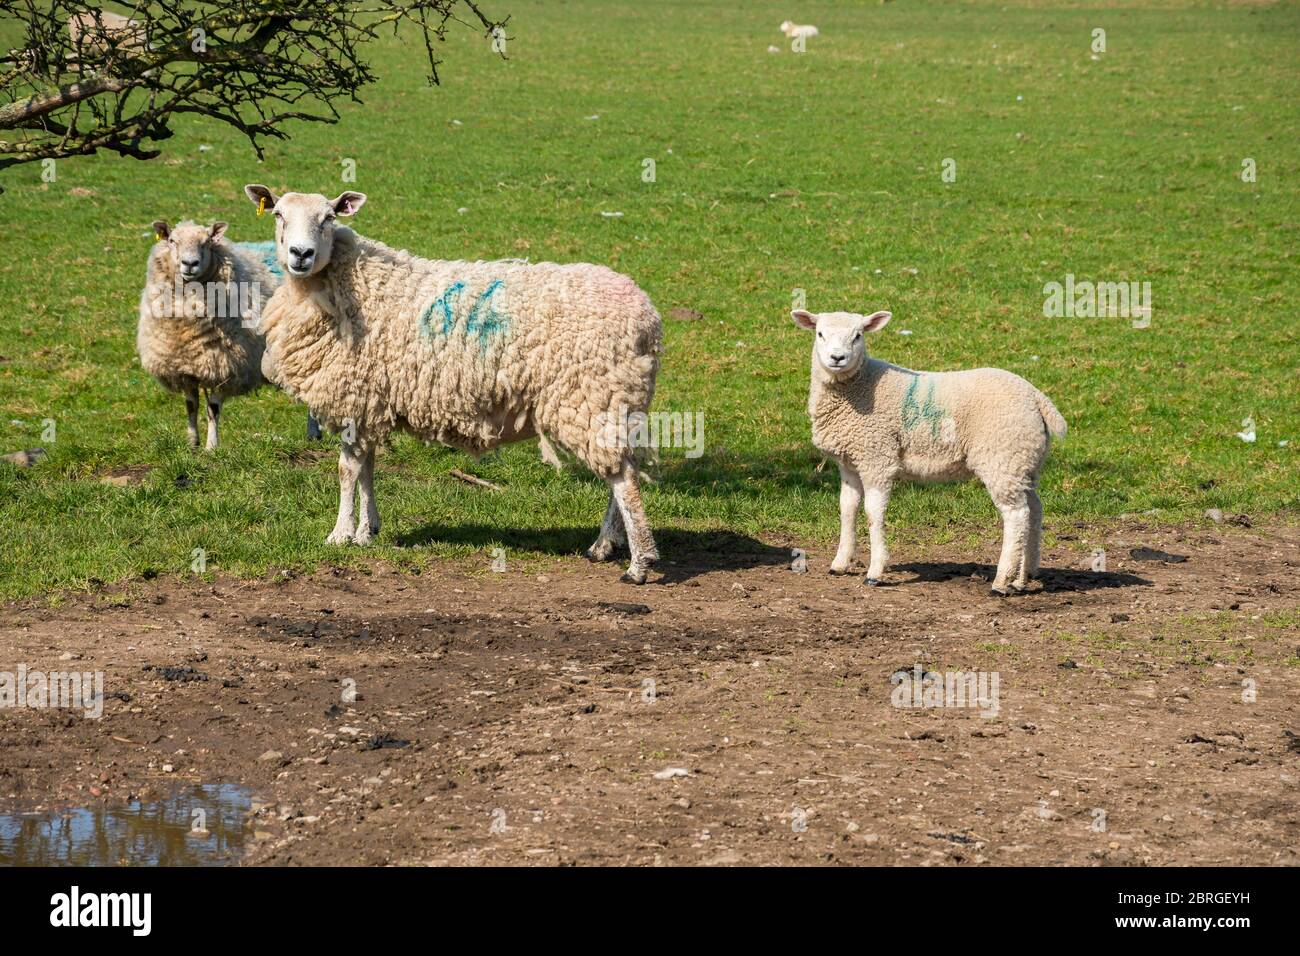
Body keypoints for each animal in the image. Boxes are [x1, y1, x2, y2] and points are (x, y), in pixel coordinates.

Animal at [137, 220, 281, 450]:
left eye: (206, 242)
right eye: (172, 240)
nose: (190, 263)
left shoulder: (227, 367)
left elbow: (213, 408)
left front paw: (211, 447)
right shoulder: (185, 368)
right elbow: (191, 405)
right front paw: (192, 443)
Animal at [242, 185, 663, 583]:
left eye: (328, 217)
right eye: (279, 215)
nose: (301, 254)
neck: (347, 283)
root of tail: (648, 316)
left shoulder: (352, 395)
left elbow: (347, 470)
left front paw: (339, 535)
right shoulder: (369, 402)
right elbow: (367, 469)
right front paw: (367, 531)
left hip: (591, 395)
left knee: (624, 480)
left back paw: (639, 563)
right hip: (612, 401)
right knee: (621, 471)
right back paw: (604, 546)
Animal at [792, 308, 1067, 595]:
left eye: (858, 336)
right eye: (820, 334)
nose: (837, 358)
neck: (859, 386)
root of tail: (1036, 398)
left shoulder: (878, 456)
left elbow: (872, 512)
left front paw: (875, 571)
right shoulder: (850, 460)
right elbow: (848, 508)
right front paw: (840, 563)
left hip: (1002, 457)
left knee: (1016, 515)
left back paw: (1001, 582)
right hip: (1024, 461)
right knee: (1034, 510)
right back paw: (1023, 577)